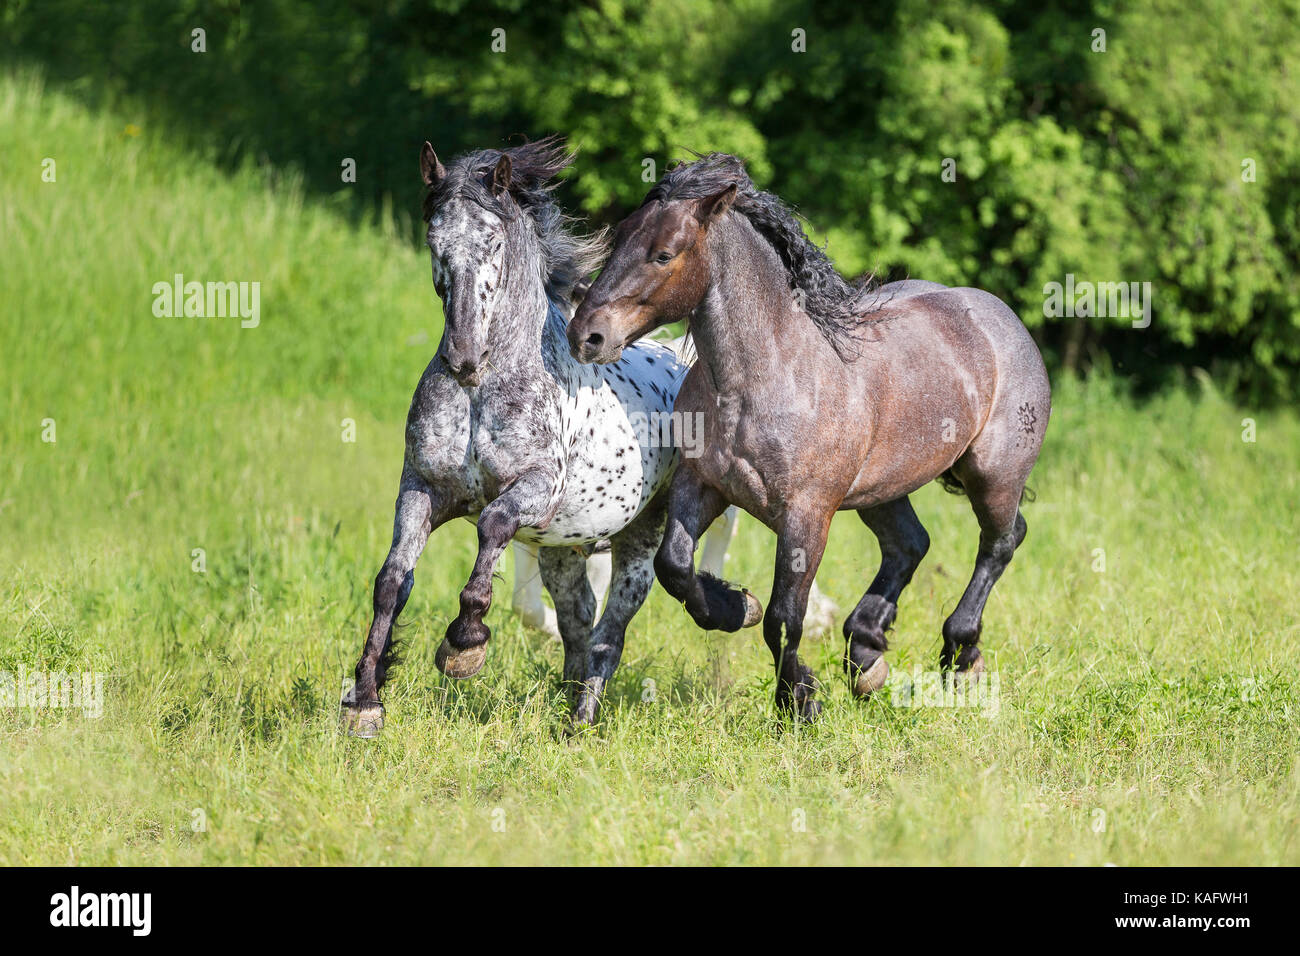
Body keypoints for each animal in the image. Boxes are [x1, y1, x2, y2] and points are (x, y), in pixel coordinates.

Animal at [341, 137, 698, 735]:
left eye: (494, 240)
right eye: (433, 238)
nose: (462, 357)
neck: (483, 388)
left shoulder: (534, 489)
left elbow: (491, 525)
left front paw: (464, 646)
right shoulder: (421, 487)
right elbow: (392, 580)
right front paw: (364, 701)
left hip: (641, 535)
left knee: (611, 629)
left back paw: (581, 720)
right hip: (563, 547)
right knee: (578, 620)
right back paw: (565, 706)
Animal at [567, 153, 1050, 720]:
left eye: (664, 254)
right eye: (618, 236)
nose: (586, 335)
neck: (766, 379)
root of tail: (999, 317)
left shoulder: (807, 515)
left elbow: (784, 617)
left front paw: (797, 702)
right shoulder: (701, 485)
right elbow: (676, 569)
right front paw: (736, 608)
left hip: (993, 474)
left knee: (1000, 542)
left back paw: (960, 653)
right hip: (882, 489)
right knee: (910, 544)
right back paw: (867, 657)